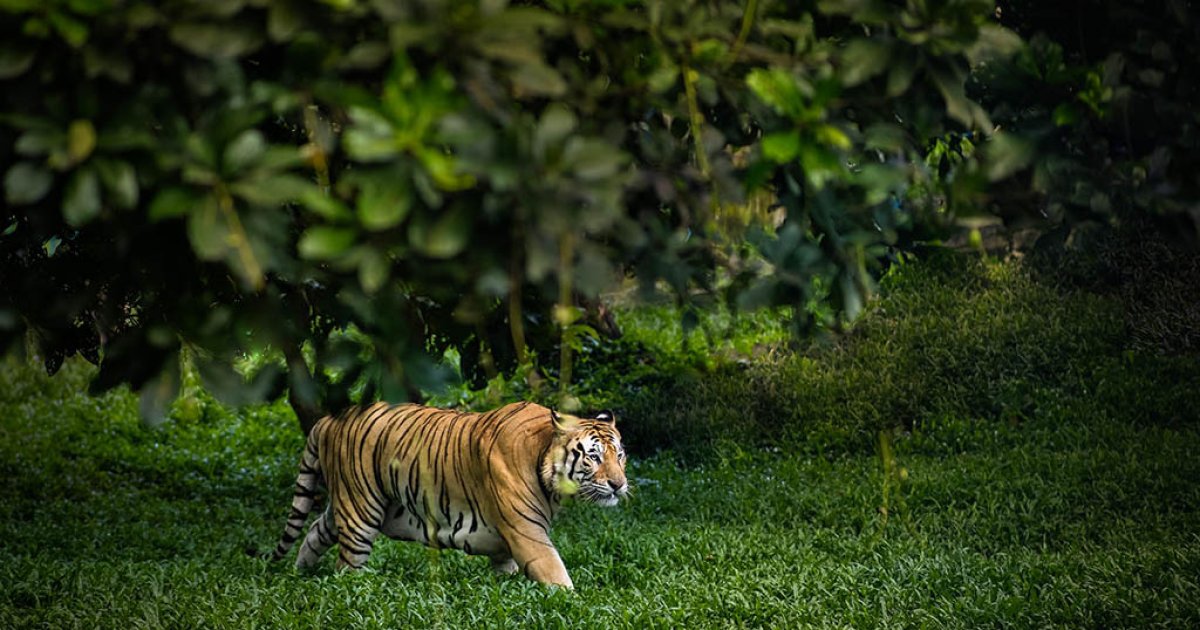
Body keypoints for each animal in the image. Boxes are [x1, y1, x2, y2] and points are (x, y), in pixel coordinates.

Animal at [255, 401, 628, 588]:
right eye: (594, 456)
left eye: (620, 455)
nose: (619, 484)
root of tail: (330, 418)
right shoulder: (527, 534)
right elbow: (556, 575)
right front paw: (576, 602)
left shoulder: (507, 545)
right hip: (361, 513)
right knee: (347, 566)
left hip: (348, 506)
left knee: (314, 531)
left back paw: (299, 574)